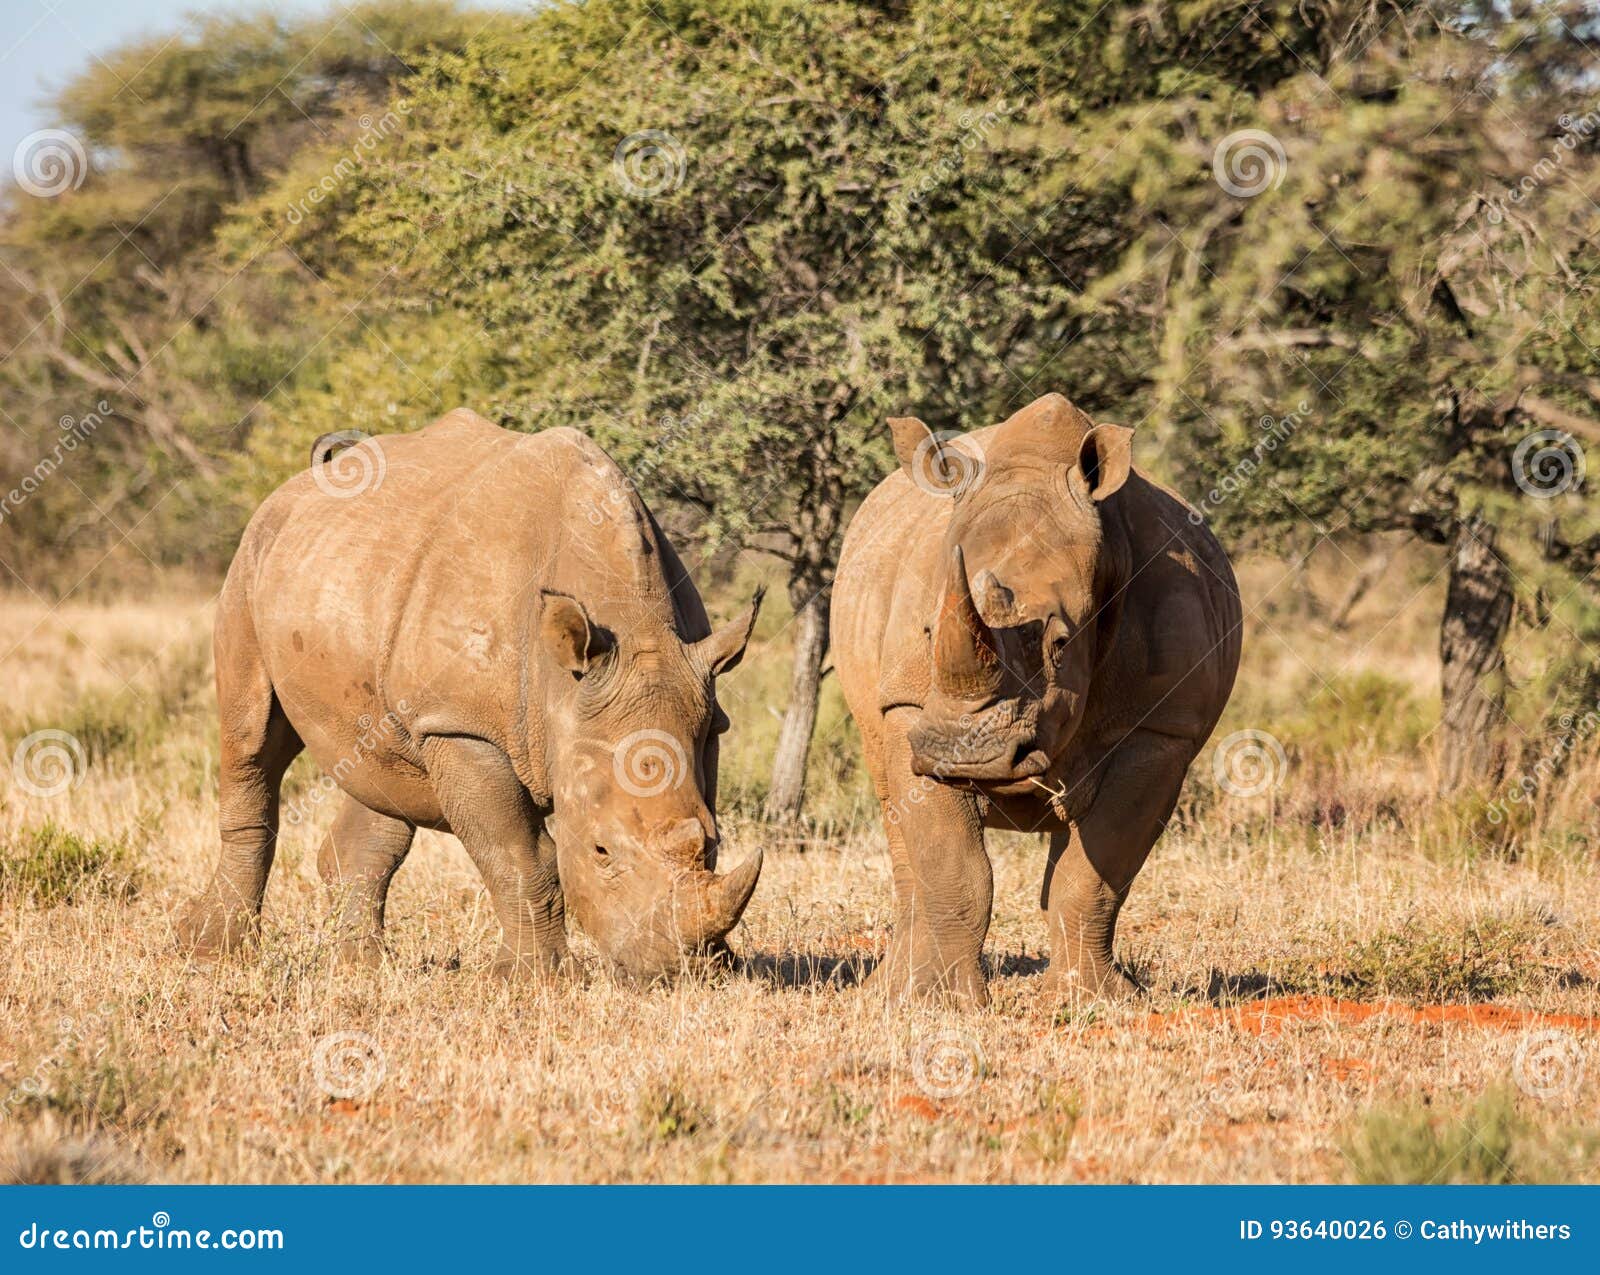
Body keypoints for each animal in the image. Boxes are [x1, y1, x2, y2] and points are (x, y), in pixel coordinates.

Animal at [177, 409, 764, 981]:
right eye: (599, 850)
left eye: (712, 843)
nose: (674, 972)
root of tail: (301, 484)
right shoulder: (461, 724)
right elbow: (522, 853)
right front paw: (535, 979)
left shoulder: (705, 711)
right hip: (252, 558)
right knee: (251, 740)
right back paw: (212, 955)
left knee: (376, 769)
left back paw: (361, 970)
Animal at [831, 393, 1241, 1006]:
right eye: (929, 632)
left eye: (1060, 644)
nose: (968, 756)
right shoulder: (909, 710)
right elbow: (954, 867)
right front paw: (944, 1001)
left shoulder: (1163, 731)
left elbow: (1094, 871)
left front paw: (1089, 1001)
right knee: (894, 810)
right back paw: (890, 991)